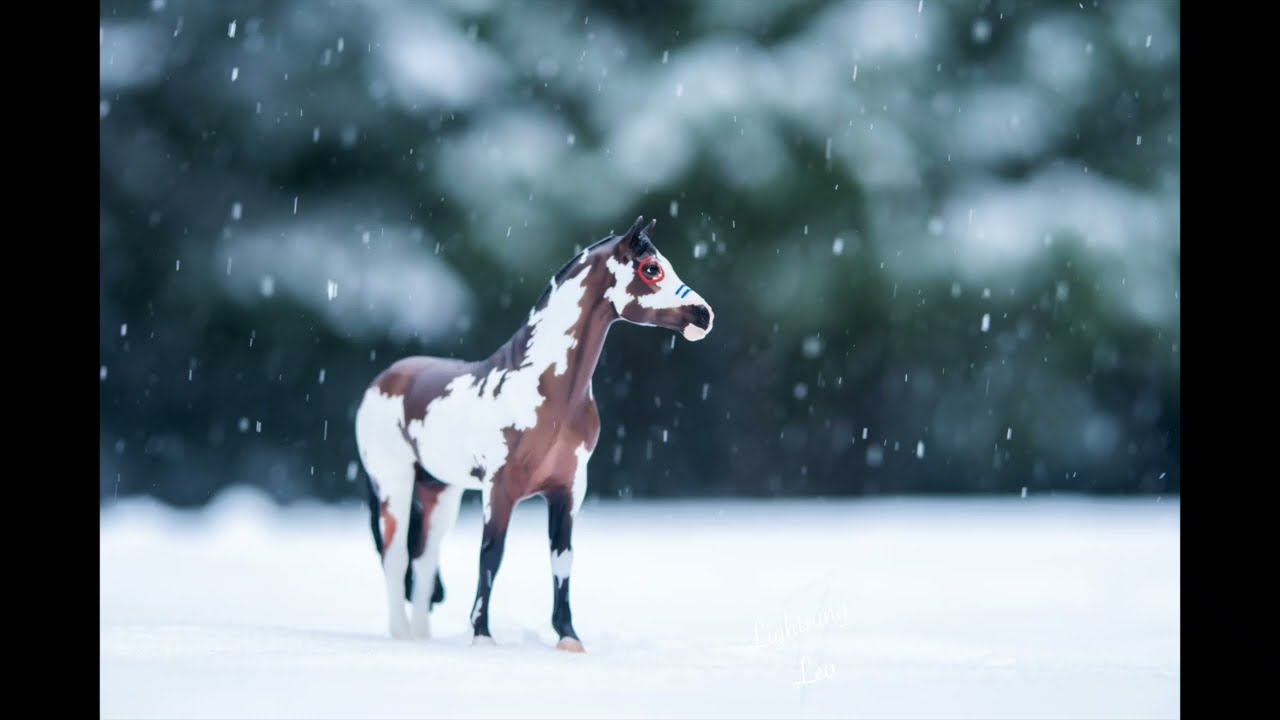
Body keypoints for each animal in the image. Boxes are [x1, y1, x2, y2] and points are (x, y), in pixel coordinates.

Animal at [354, 215, 714, 652]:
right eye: (651, 269)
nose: (703, 315)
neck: (544, 388)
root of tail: (383, 380)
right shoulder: (500, 489)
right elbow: (491, 555)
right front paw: (482, 636)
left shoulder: (568, 490)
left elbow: (562, 558)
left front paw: (569, 638)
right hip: (395, 483)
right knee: (396, 557)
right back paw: (402, 636)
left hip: (439, 490)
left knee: (423, 561)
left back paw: (423, 637)